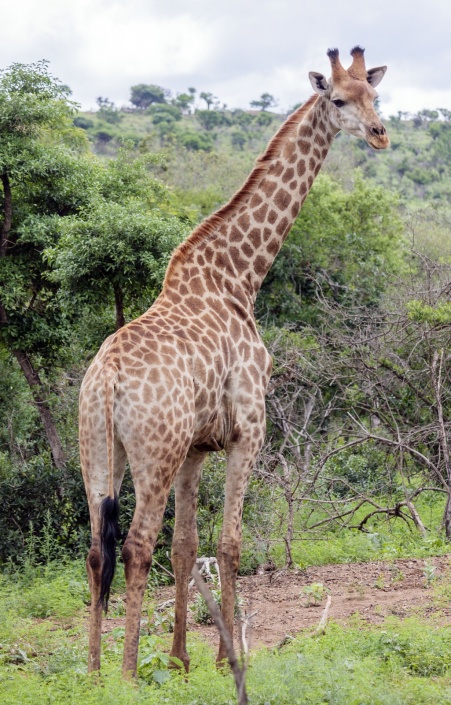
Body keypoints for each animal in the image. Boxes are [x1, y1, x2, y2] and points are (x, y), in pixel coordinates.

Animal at [79, 46, 389, 676]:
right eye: (338, 99)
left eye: (375, 96)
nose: (379, 134)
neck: (240, 277)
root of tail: (106, 382)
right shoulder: (249, 429)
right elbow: (229, 543)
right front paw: (229, 658)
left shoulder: (198, 447)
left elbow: (188, 545)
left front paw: (181, 659)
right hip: (153, 451)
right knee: (135, 545)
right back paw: (126, 673)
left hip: (98, 452)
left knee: (99, 549)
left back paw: (95, 671)